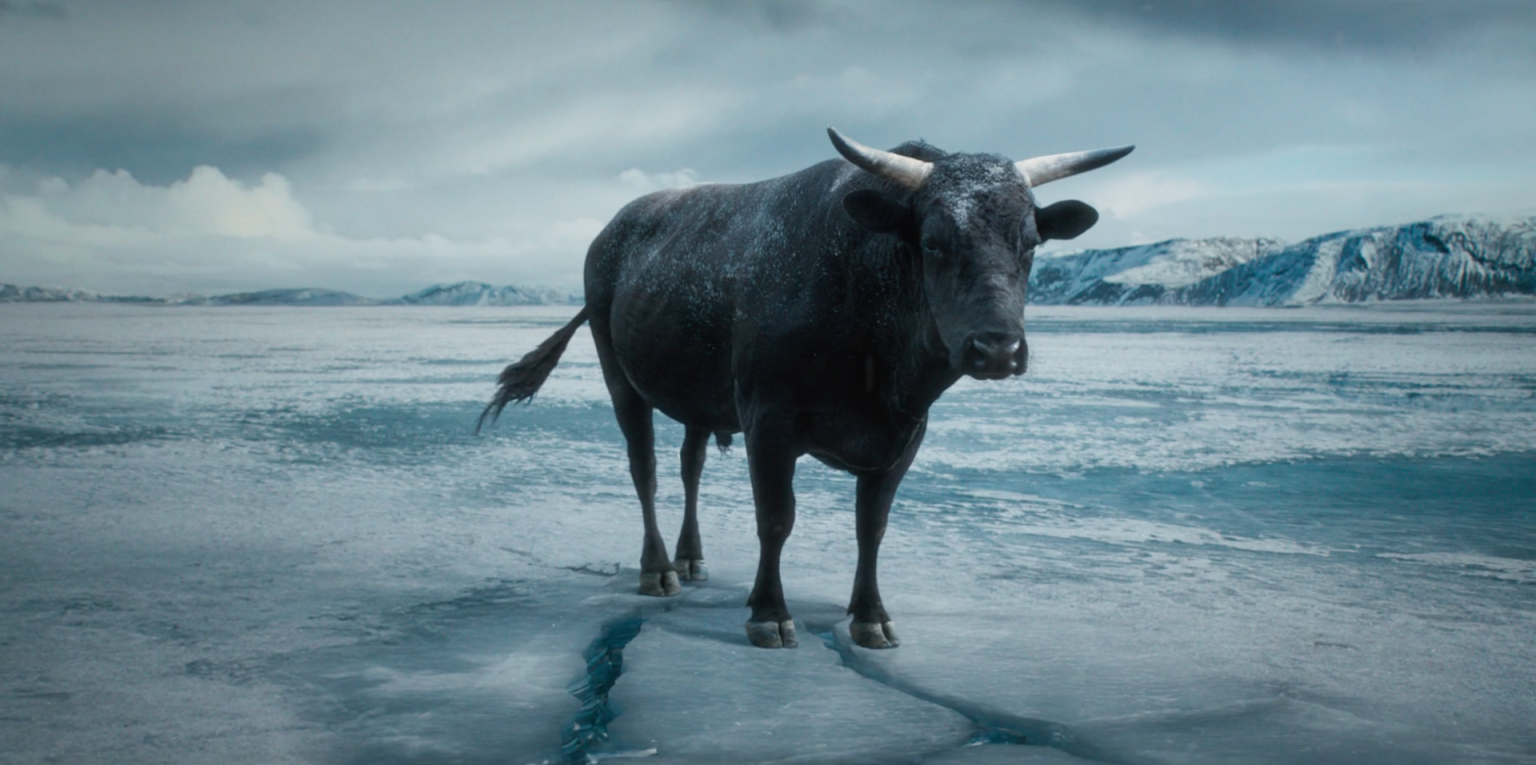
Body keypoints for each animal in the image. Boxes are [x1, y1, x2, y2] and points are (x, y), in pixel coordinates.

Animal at [480, 128, 1131, 649]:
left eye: (1031, 243)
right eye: (933, 242)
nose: (996, 348)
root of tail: (609, 232)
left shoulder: (907, 433)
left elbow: (872, 526)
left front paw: (870, 616)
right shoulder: (769, 421)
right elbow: (775, 518)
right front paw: (769, 613)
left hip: (700, 398)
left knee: (690, 464)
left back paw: (691, 559)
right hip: (620, 376)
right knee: (646, 470)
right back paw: (659, 569)